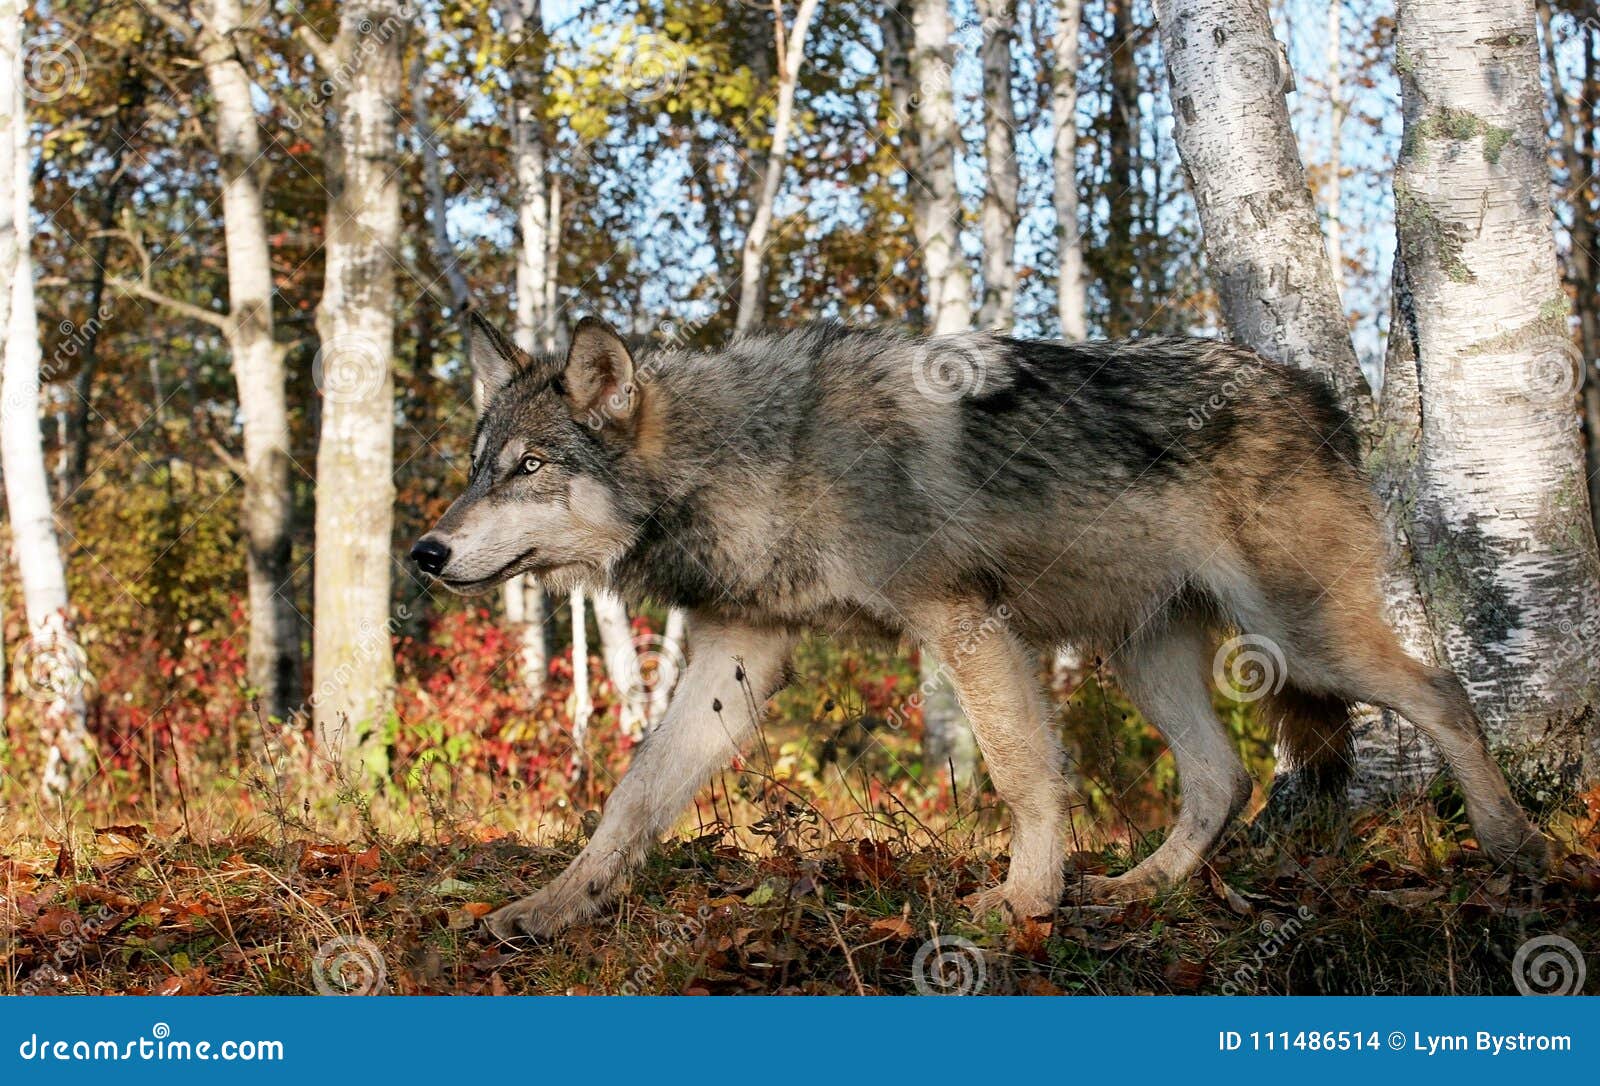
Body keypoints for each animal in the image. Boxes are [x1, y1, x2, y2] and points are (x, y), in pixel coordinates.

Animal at [412, 312, 1548, 939]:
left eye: (527, 468)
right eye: (477, 468)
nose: (425, 551)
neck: (756, 456)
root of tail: (1320, 392)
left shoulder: (961, 620)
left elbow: (1023, 771)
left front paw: (1025, 902)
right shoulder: (738, 655)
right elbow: (633, 796)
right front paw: (552, 908)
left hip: (1298, 636)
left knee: (1445, 691)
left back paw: (1515, 845)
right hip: (1142, 653)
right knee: (1221, 779)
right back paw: (1137, 890)